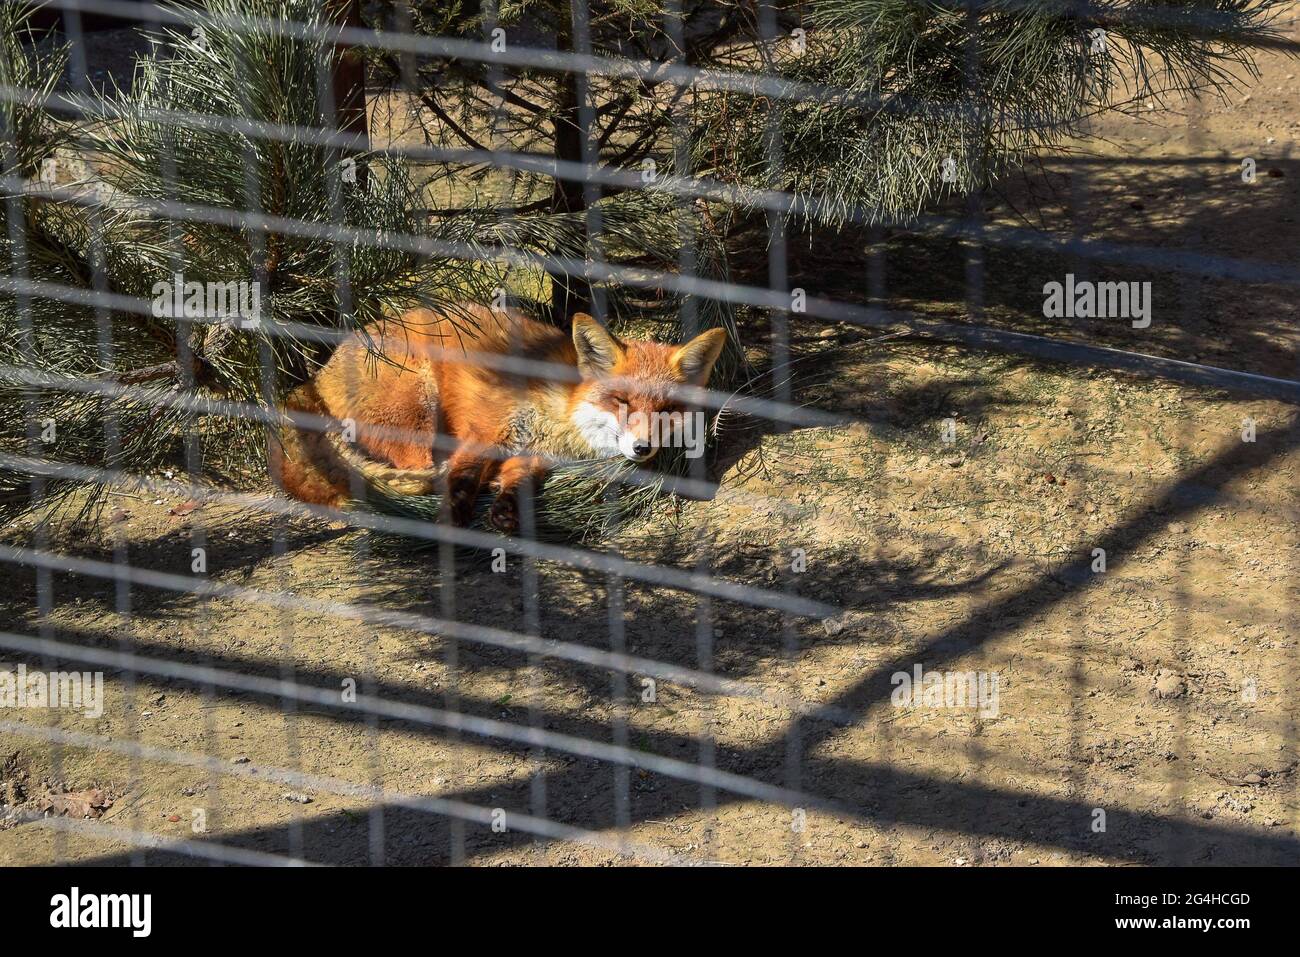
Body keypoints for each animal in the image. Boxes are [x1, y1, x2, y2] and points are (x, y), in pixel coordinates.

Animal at [268, 304, 728, 534]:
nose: (642, 448)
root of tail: (315, 375)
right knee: (416, 469)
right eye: (621, 400)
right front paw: (454, 516)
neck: (560, 415)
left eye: (667, 410)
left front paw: (506, 509)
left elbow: (518, 482)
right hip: (417, 411)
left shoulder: (533, 456)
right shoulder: (486, 431)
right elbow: (462, 477)